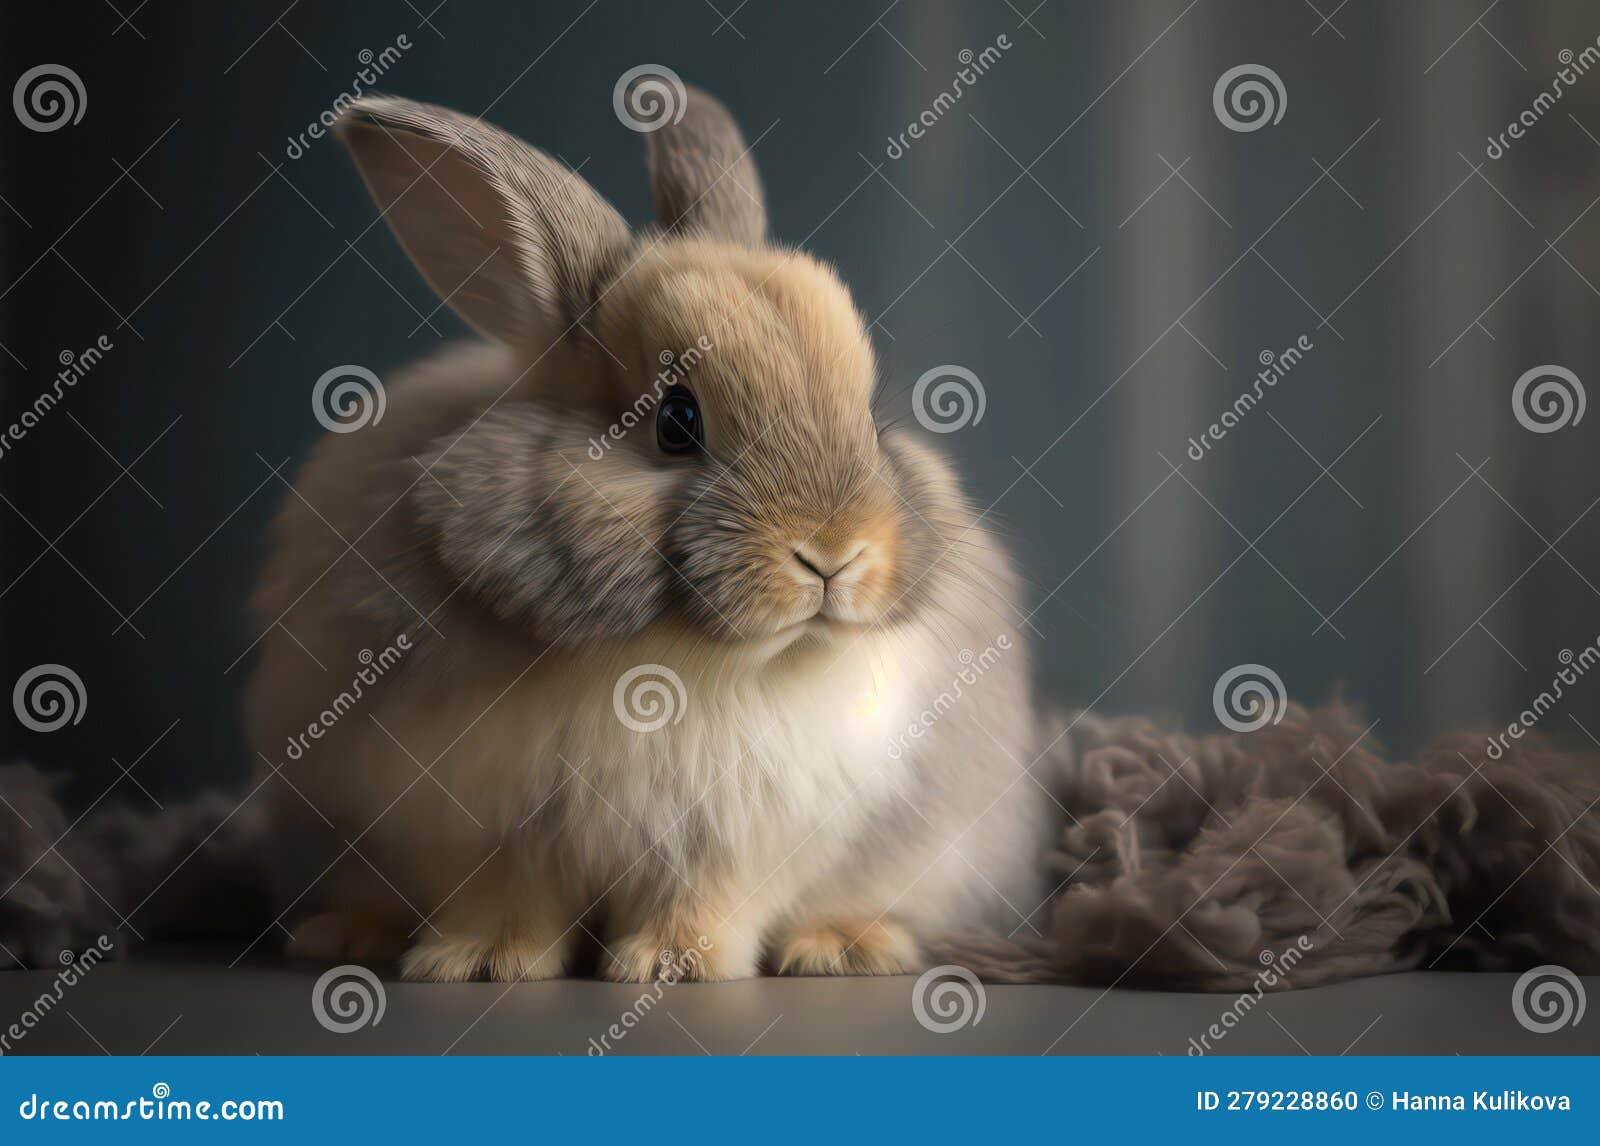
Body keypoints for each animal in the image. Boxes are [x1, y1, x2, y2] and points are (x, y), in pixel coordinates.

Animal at [242, 82, 1052, 983]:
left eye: (873, 419)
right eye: (675, 421)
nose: (835, 554)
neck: (681, 663)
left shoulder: (738, 841)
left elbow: (703, 900)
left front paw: (671, 965)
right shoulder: (480, 829)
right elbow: (502, 897)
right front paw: (485, 960)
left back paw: (842, 947)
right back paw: (349, 933)